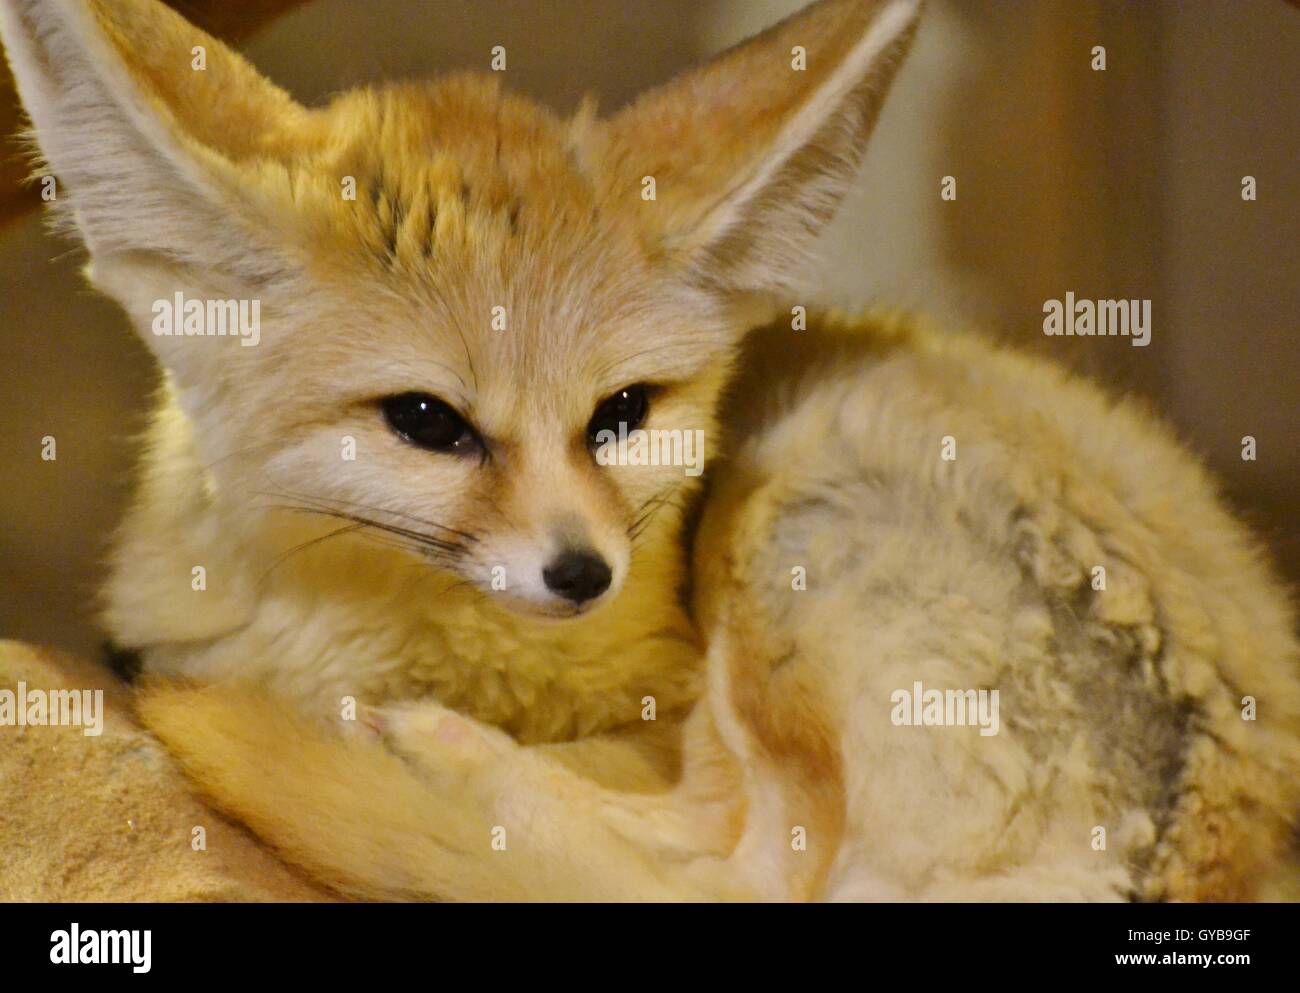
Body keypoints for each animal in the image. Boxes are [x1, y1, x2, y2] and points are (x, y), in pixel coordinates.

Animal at [3, 0, 1298, 902]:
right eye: (427, 421)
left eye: (620, 410)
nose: (583, 574)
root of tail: (1221, 827)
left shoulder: (664, 703)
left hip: (786, 504)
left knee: (740, 876)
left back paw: (448, 755)